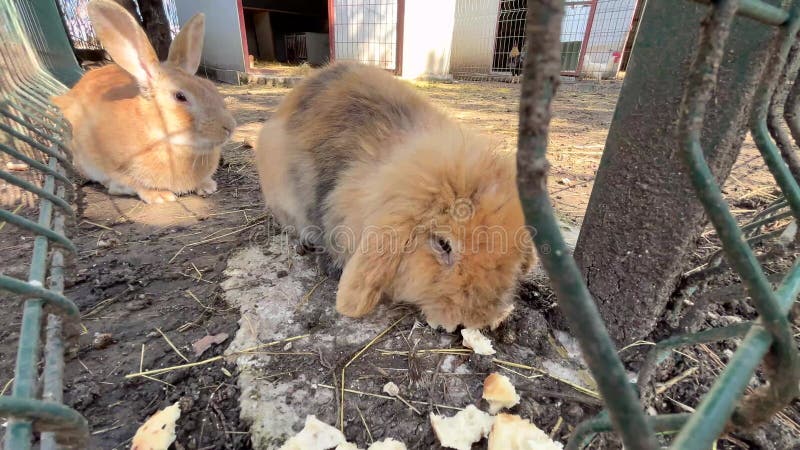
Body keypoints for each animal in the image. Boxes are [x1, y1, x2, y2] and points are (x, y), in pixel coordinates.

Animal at [52, 0, 236, 204]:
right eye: (180, 96)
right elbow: (132, 185)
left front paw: (207, 186)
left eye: (210, 86)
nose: (229, 127)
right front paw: (161, 196)